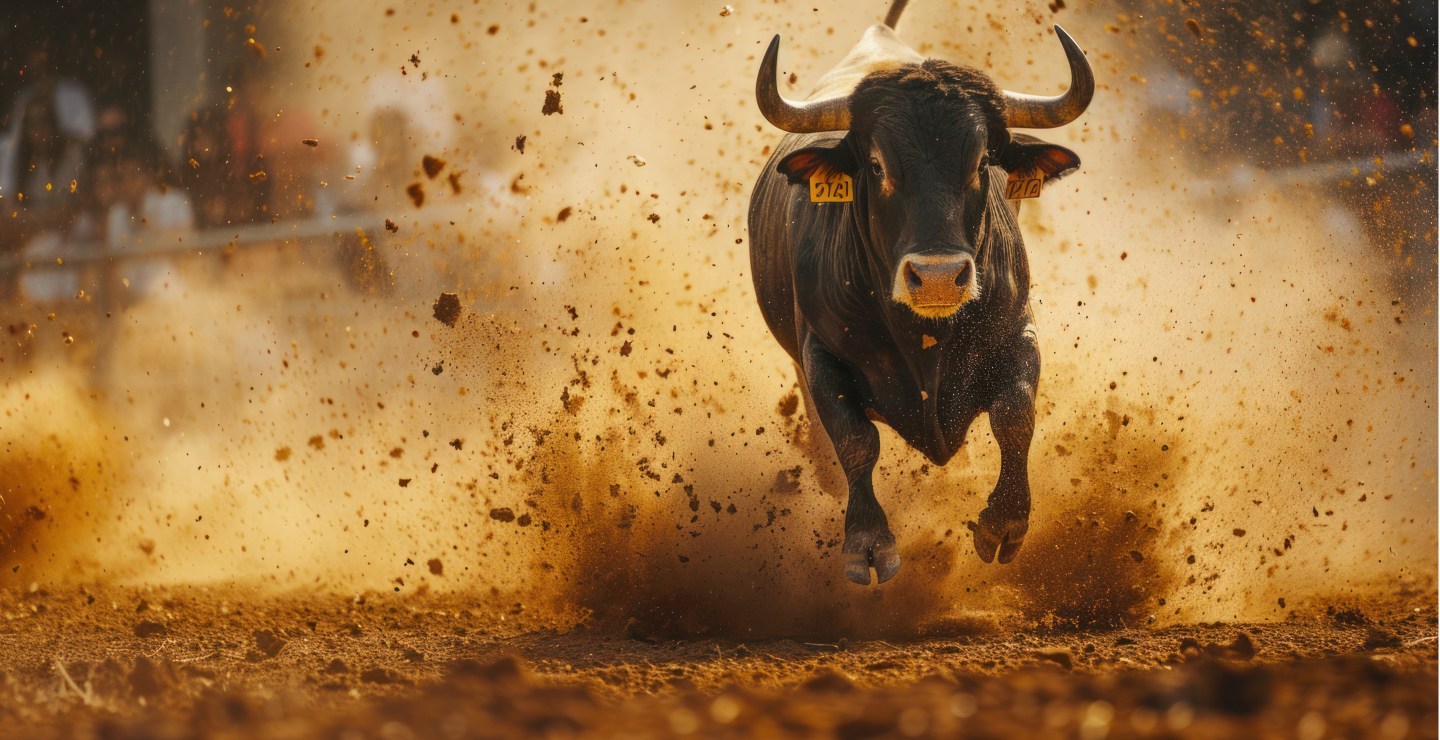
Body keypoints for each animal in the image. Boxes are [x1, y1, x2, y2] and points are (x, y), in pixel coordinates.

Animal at [746, 0, 1093, 585]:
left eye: (982, 163)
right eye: (877, 165)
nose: (936, 276)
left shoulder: (1017, 331)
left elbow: (1015, 415)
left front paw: (1004, 523)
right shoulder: (820, 355)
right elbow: (856, 440)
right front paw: (868, 542)